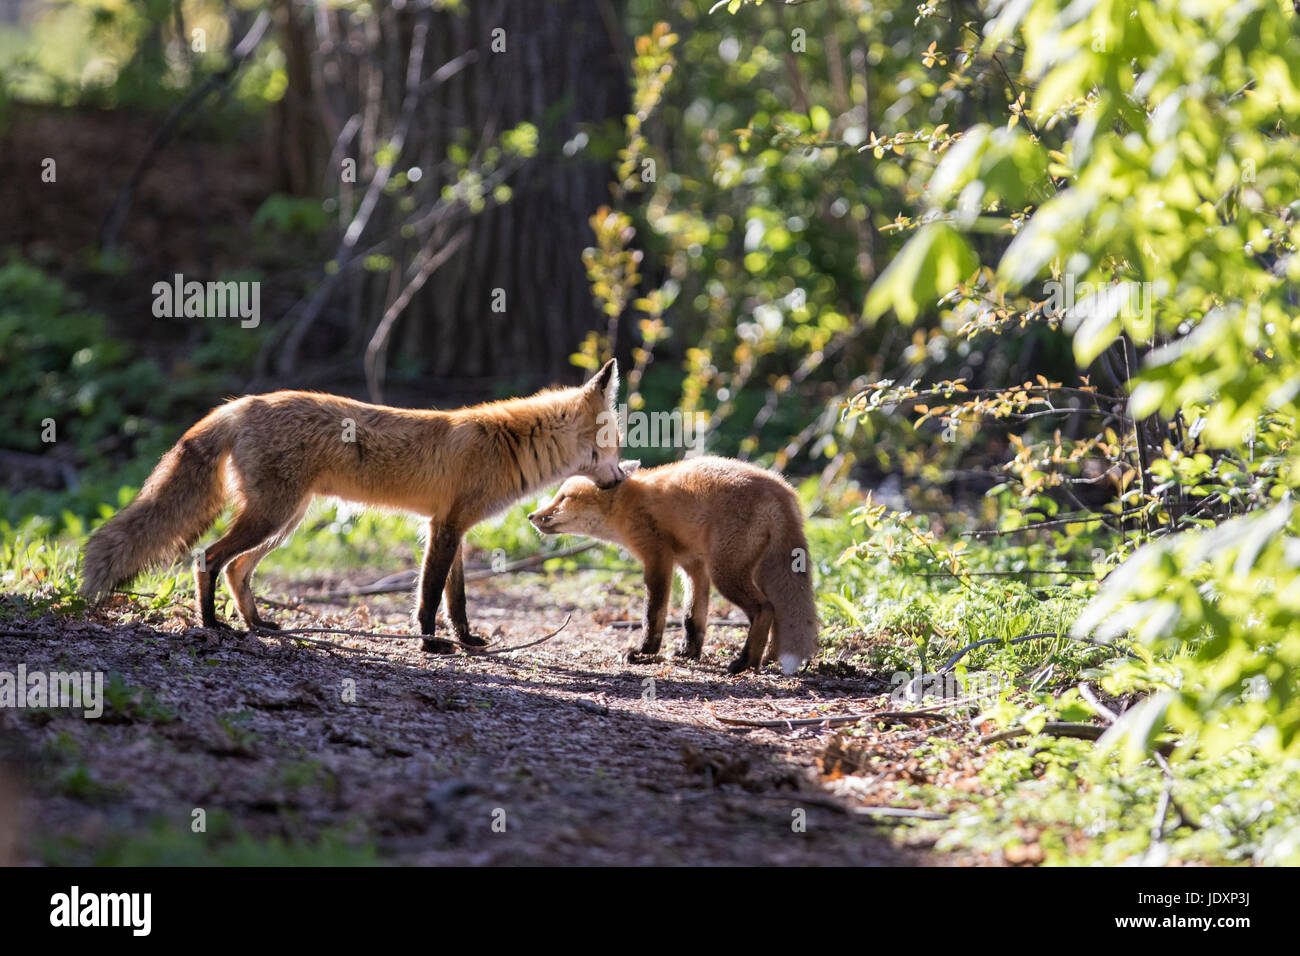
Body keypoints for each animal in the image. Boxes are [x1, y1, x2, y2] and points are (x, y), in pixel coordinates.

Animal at [80, 360, 626, 651]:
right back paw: (212, 624)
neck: (508, 444)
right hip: (273, 516)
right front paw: (429, 643)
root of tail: (242, 403)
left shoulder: (453, 526)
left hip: (285, 520)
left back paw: (256, 624)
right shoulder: (445, 526)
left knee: (237, 569)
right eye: (615, 443)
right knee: (208, 558)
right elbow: (429, 596)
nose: (622, 479)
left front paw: (466, 641)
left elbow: (458, 600)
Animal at [528, 456, 819, 675]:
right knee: (779, 612)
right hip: (753, 572)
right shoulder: (694, 564)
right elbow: (692, 617)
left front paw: (643, 652)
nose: (531, 515)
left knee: (765, 609)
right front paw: (689, 653)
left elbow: (653, 613)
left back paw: (746, 663)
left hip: (726, 574)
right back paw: (770, 659)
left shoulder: (657, 559)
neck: (629, 505)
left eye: (563, 498)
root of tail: (783, 490)